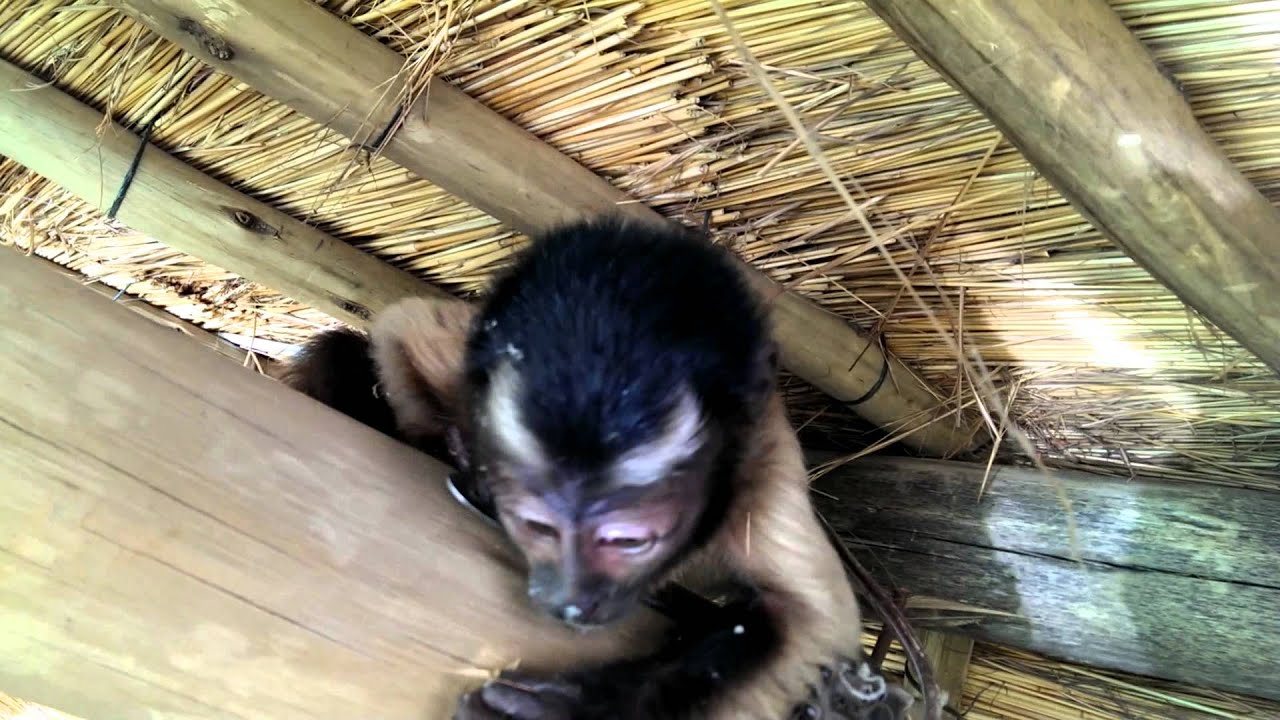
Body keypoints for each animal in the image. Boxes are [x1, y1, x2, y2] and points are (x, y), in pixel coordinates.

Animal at [280, 217, 909, 719]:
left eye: (626, 541)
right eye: (537, 527)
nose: (570, 601)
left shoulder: (765, 476)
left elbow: (815, 626)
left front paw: (583, 706)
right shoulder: (461, 356)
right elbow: (398, 330)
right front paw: (452, 450)